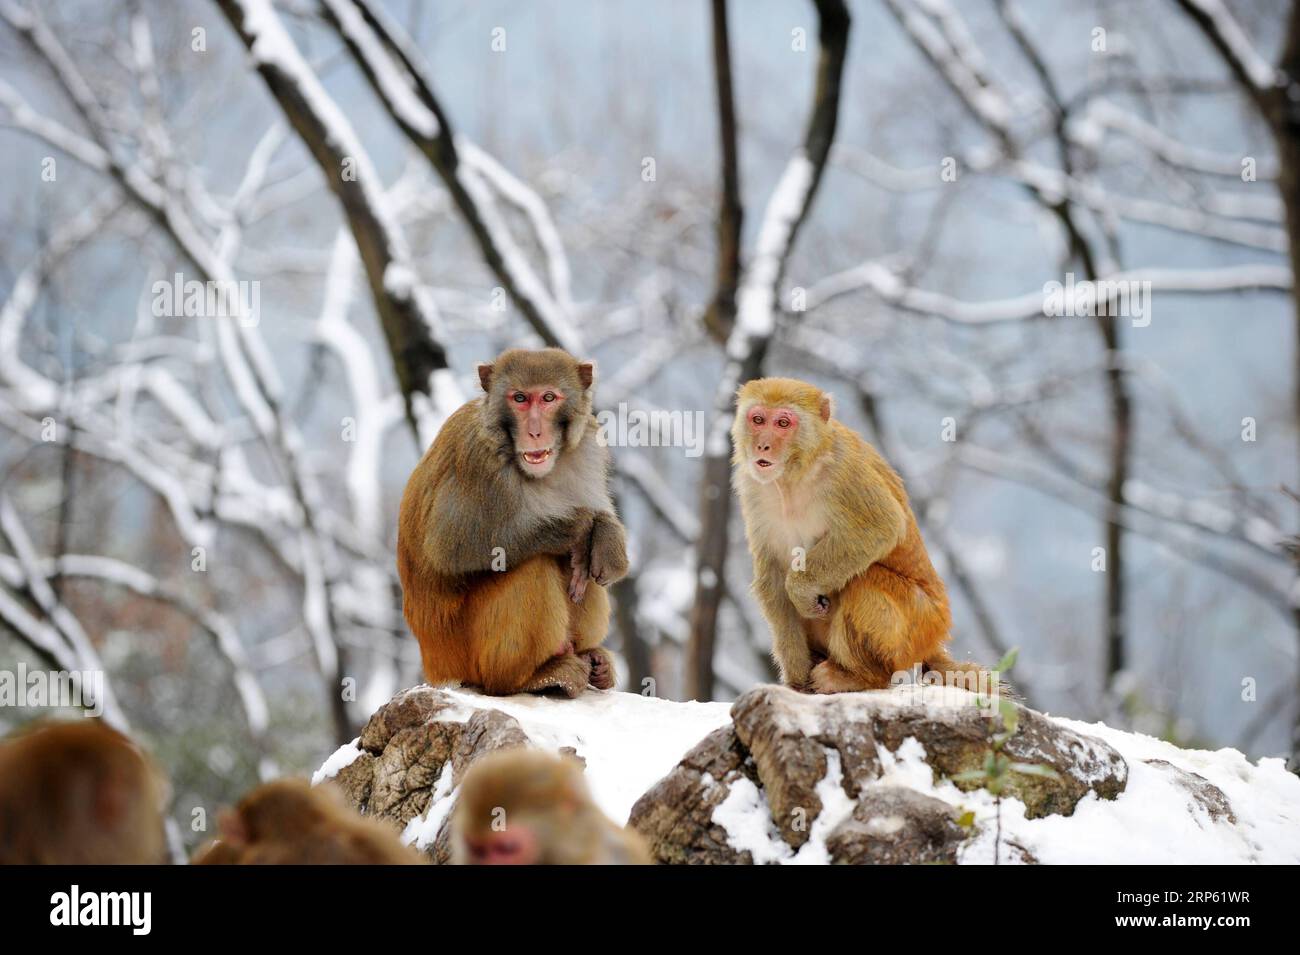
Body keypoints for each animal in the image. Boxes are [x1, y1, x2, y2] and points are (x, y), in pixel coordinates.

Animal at [397, 348, 629, 698]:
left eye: (548, 397)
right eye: (519, 398)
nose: (534, 431)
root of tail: (436, 665)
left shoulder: (588, 447)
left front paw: (606, 534)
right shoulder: (478, 461)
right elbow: (449, 549)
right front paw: (576, 527)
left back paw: (594, 660)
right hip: (464, 653)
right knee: (533, 565)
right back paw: (530, 677)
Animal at [731, 377, 991, 695]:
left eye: (783, 423)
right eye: (758, 420)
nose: (763, 445)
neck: (794, 475)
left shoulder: (844, 472)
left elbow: (881, 527)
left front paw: (800, 589)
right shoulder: (752, 488)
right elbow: (772, 577)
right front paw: (796, 683)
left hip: (917, 628)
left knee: (862, 581)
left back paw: (862, 677)